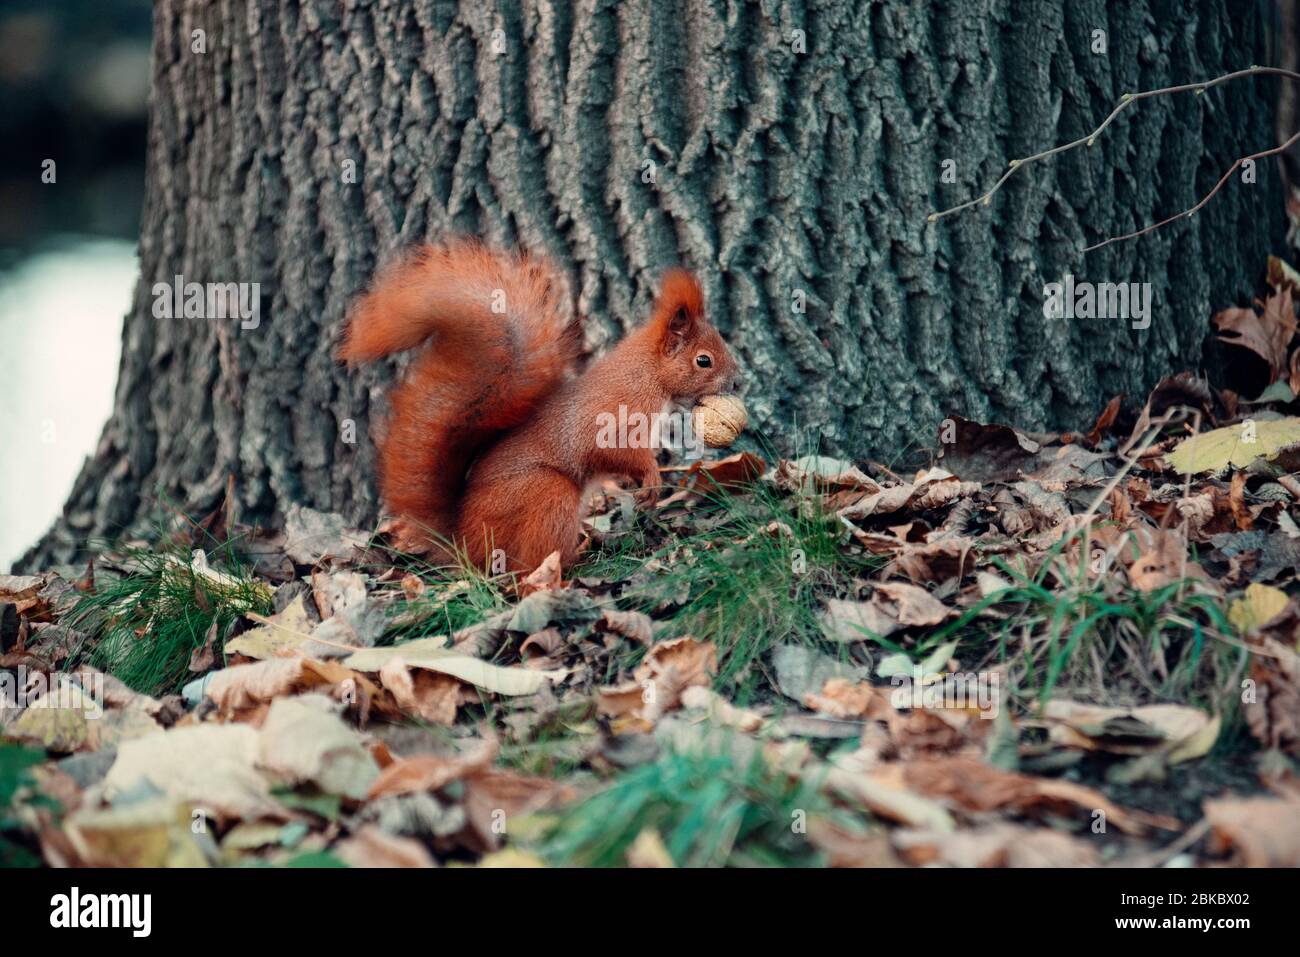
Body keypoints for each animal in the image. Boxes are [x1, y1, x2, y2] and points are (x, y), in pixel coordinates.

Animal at [338, 239, 739, 573]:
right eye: (704, 361)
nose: (737, 381)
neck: (650, 376)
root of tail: (465, 542)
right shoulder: (613, 415)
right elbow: (615, 452)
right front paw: (652, 477)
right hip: (546, 493)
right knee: (528, 565)